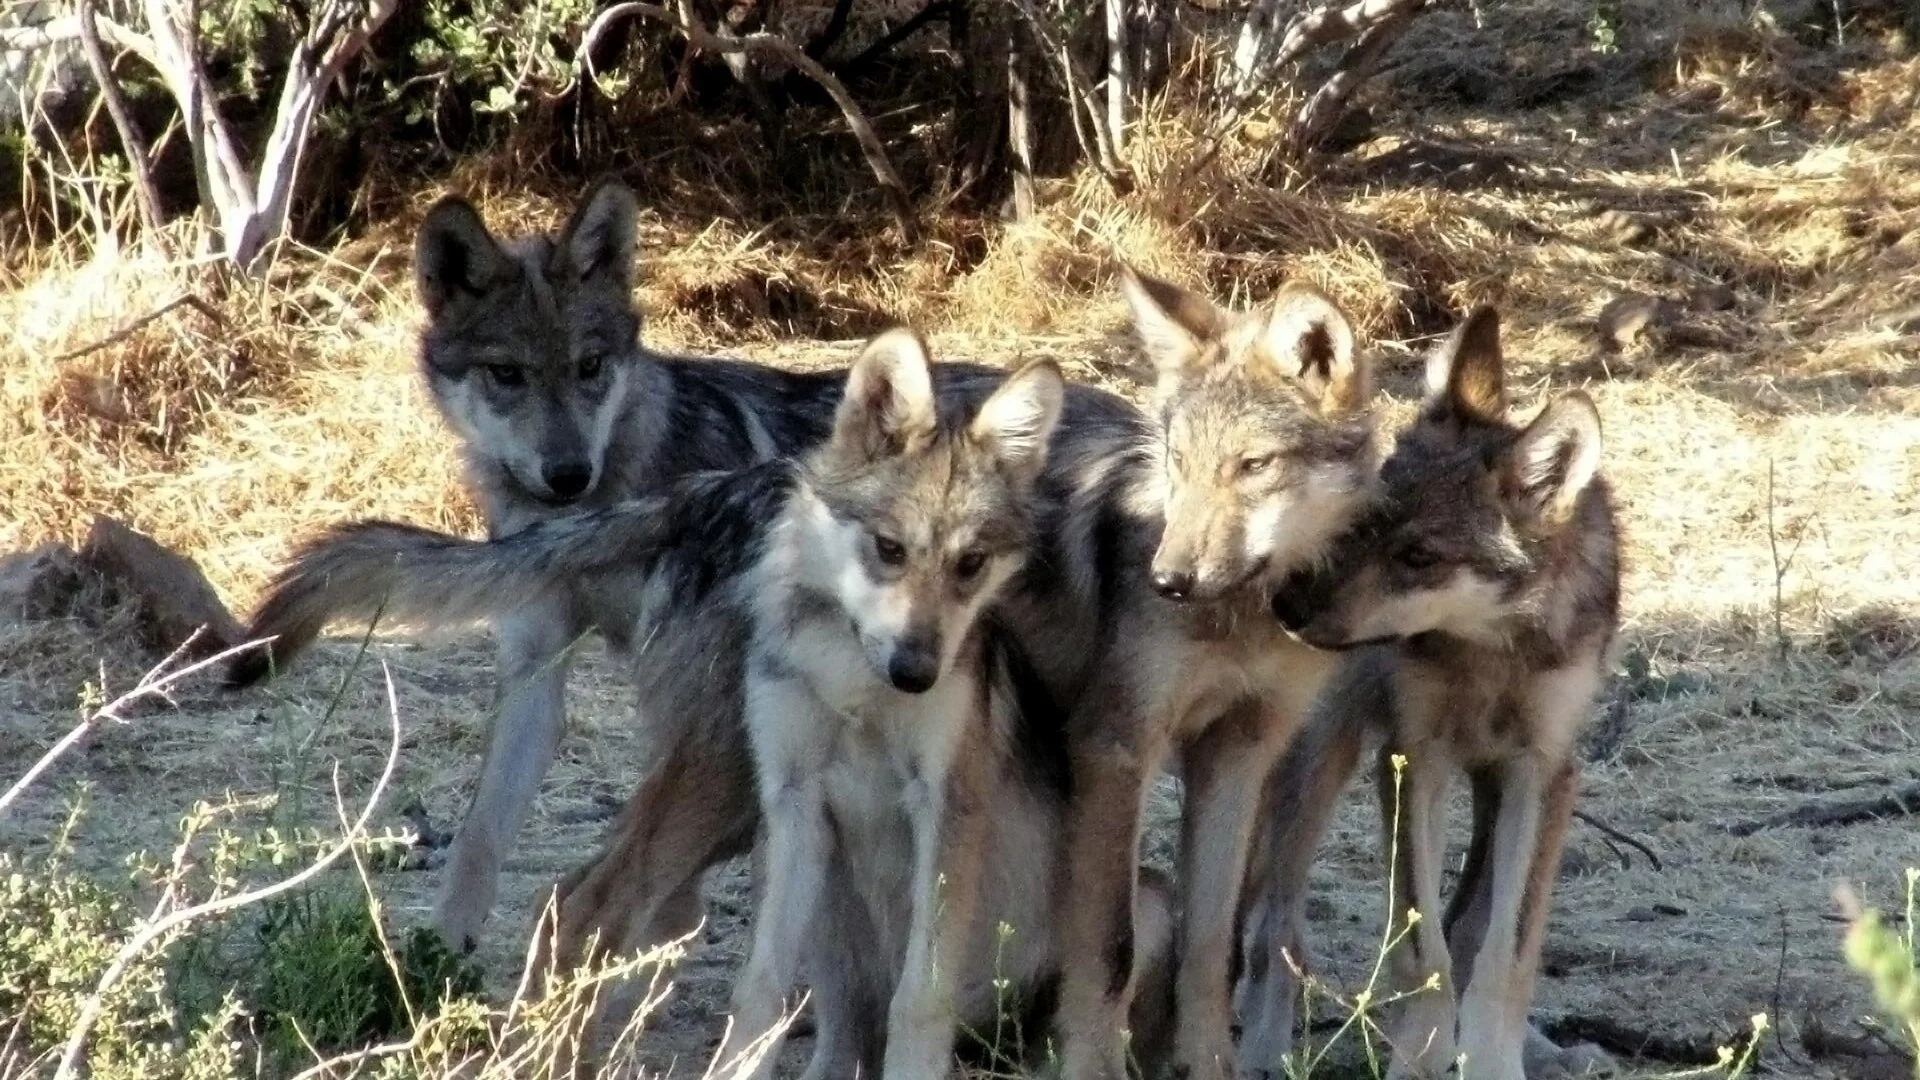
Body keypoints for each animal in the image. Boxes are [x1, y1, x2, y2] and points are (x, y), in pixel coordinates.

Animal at [229, 179, 853, 954]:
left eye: (590, 367)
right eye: (508, 375)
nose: (567, 474)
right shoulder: (534, 667)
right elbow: (480, 837)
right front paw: (442, 957)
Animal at [234, 330, 1177, 1079]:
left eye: (972, 565)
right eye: (888, 550)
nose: (915, 670)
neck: (853, 681)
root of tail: (707, 491)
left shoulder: (940, 808)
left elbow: (914, 1000)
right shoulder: (803, 803)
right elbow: (761, 992)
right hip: (739, 805)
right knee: (586, 904)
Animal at [1242, 307, 1622, 1080]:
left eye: (1418, 556)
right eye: (1362, 527)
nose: (1287, 607)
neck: (1488, 651)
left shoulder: (1543, 771)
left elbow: (1503, 952)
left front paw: (1495, 1059)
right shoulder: (1415, 757)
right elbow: (1426, 953)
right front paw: (1422, 1056)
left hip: (1489, 790)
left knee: (1469, 919)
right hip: (1315, 767)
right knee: (1275, 921)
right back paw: (1260, 1052)